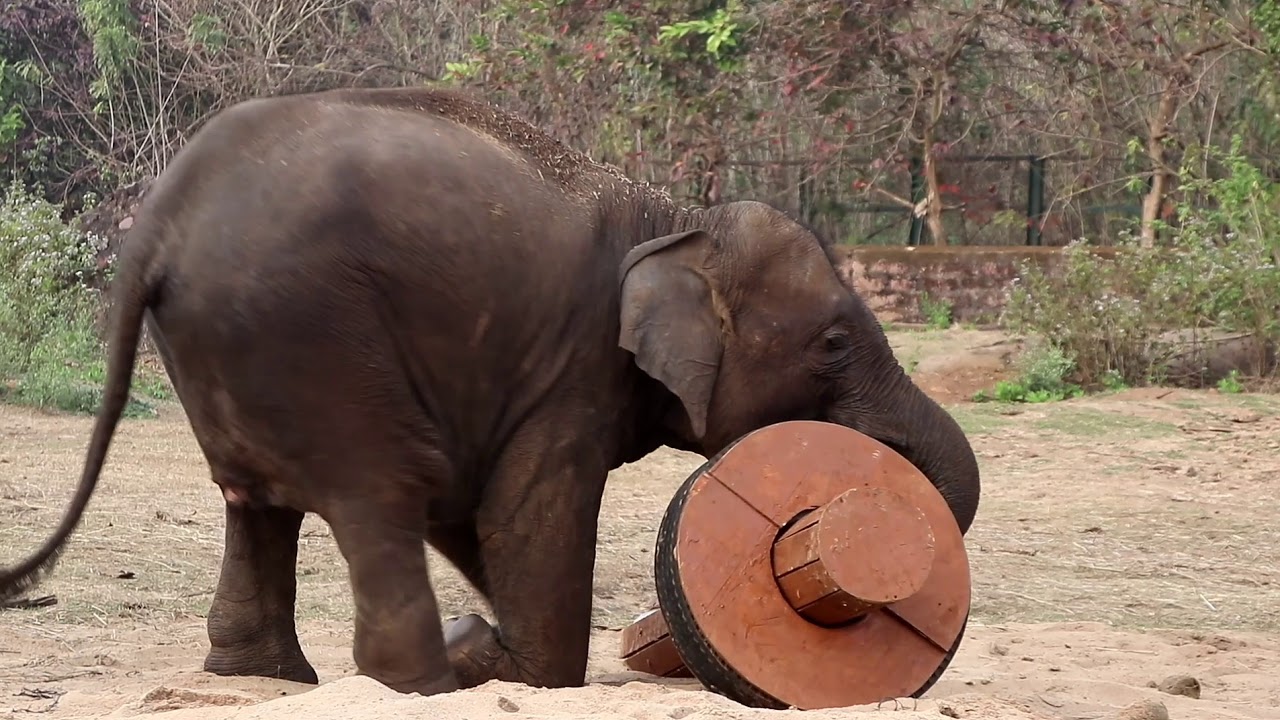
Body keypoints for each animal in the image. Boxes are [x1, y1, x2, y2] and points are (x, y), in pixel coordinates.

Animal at [0, 85, 980, 698]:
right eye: (835, 342)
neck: (675, 220)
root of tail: (157, 226)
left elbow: (475, 511)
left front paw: (499, 648)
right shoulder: (575, 368)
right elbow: (523, 511)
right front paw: (520, 667)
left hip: (231, 349)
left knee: (259, 504)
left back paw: (267, 681)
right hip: (309, 335)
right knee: (382, 491)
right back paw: (428, 673)